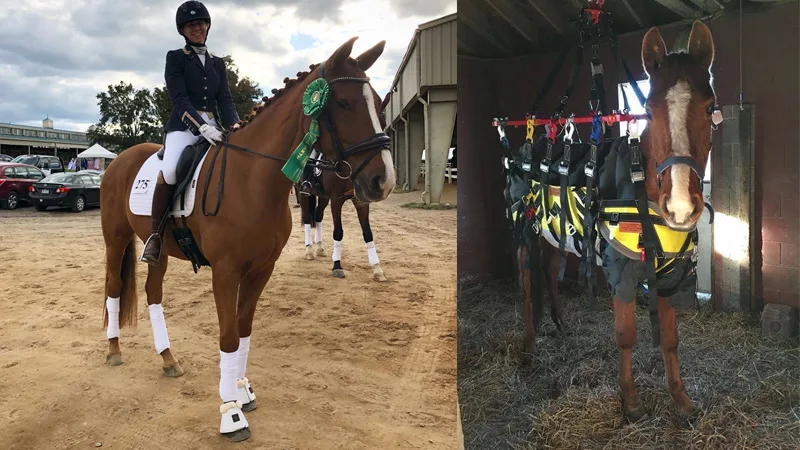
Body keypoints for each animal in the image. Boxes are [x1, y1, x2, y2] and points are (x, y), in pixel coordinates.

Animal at [98, 37, 396, 442]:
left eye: (379, 104)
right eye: (345, 104)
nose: (385, 181)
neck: (252, 179)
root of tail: (119, 159)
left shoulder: (260, 269)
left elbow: (243, 330)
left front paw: (242, 390)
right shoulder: (225, 272)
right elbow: (227, 336)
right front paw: (230, 412)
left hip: (157, 250)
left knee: (152, 293)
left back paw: (168, 358)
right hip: (115, 238)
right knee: (114, 288)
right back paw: (114, 351)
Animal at [508, 20, 718, 421]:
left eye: (710, 106)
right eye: (648, 109)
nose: (681, 206)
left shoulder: (671, 273)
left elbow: (670, 339)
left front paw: (681, 399)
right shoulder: (622, 270)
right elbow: (626, 336)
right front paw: (631, 401)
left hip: (559, 234)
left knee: (550, 271)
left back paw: (560, 324)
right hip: (525, 231)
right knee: (527, 282)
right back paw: (527, 345)